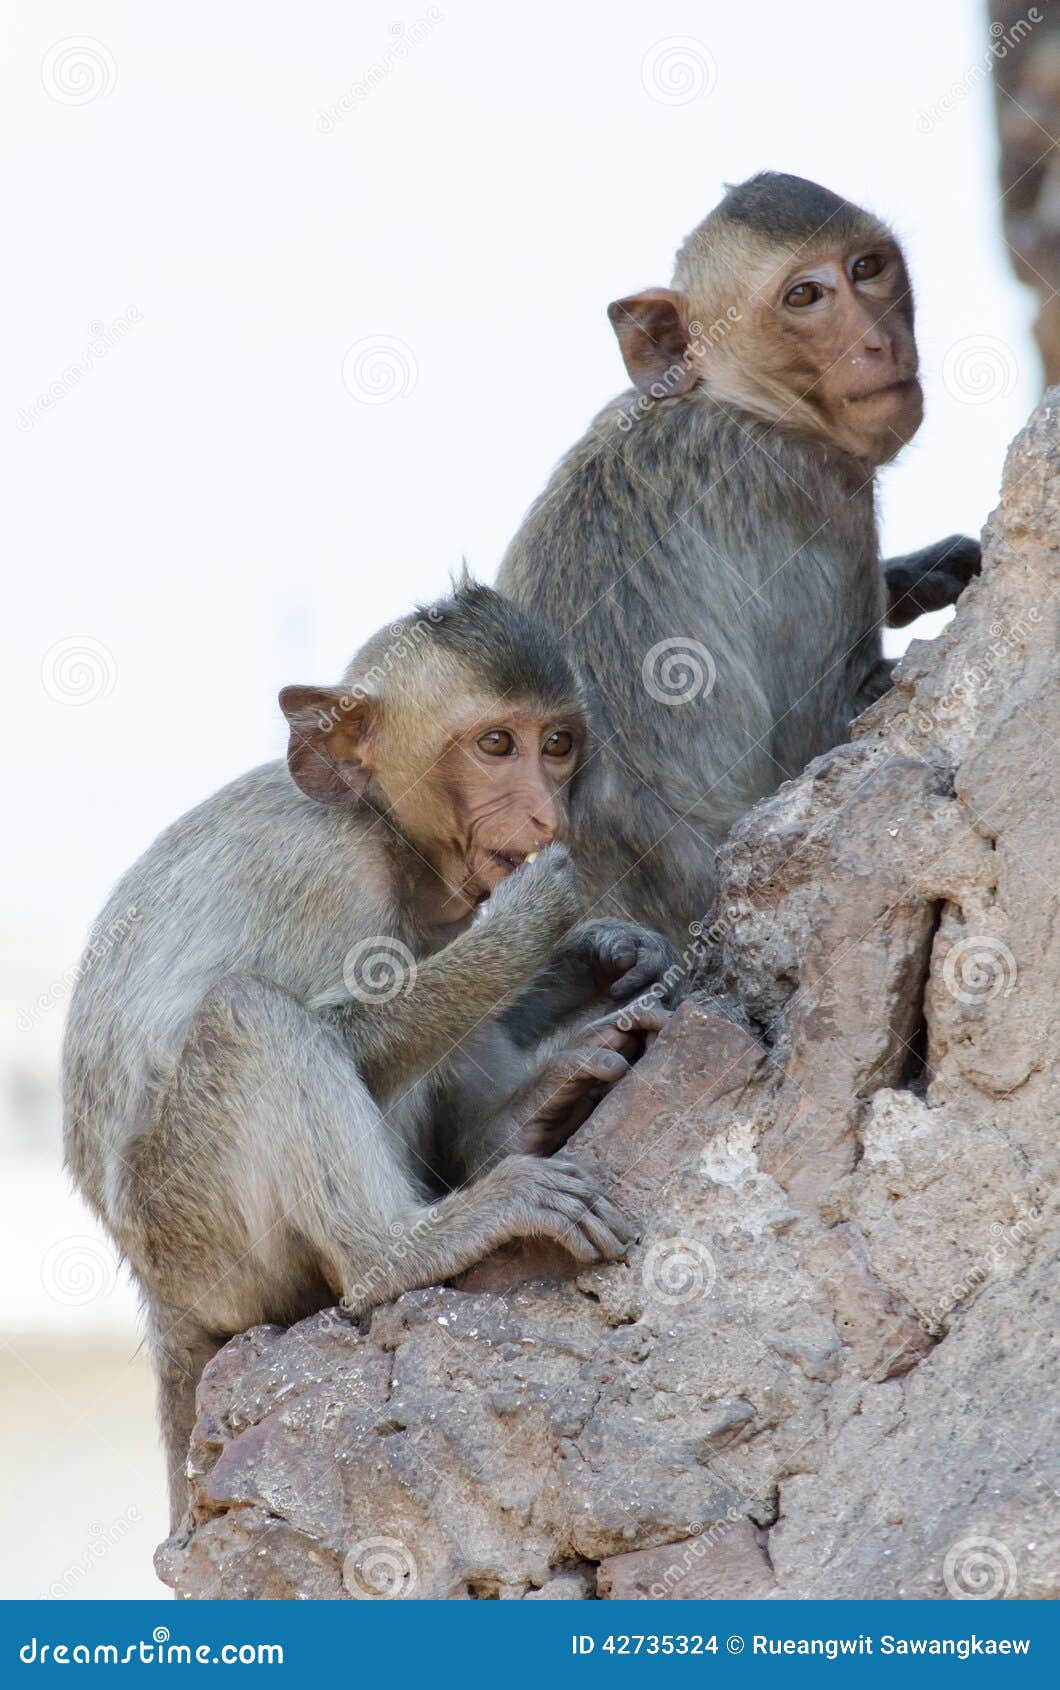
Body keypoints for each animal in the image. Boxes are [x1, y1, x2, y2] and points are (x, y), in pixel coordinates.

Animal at [61, 582, 675, 1531]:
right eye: (495, 745)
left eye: (557, 744)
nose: (548, 814)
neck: (383, 829)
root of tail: (160, 1298)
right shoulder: (325, 875)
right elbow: (343, 1033)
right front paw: (534, 921)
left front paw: (602, 952)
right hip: (198, 1236)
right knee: (250, 1017)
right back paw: (402, 1248)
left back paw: (517, 1121)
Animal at [497, 172, 981, 948]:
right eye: (804, 296)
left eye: (867, 268)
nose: (878, 342)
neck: (732, 399)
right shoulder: (807, 490)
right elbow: (817, 741)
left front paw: (925, 572)